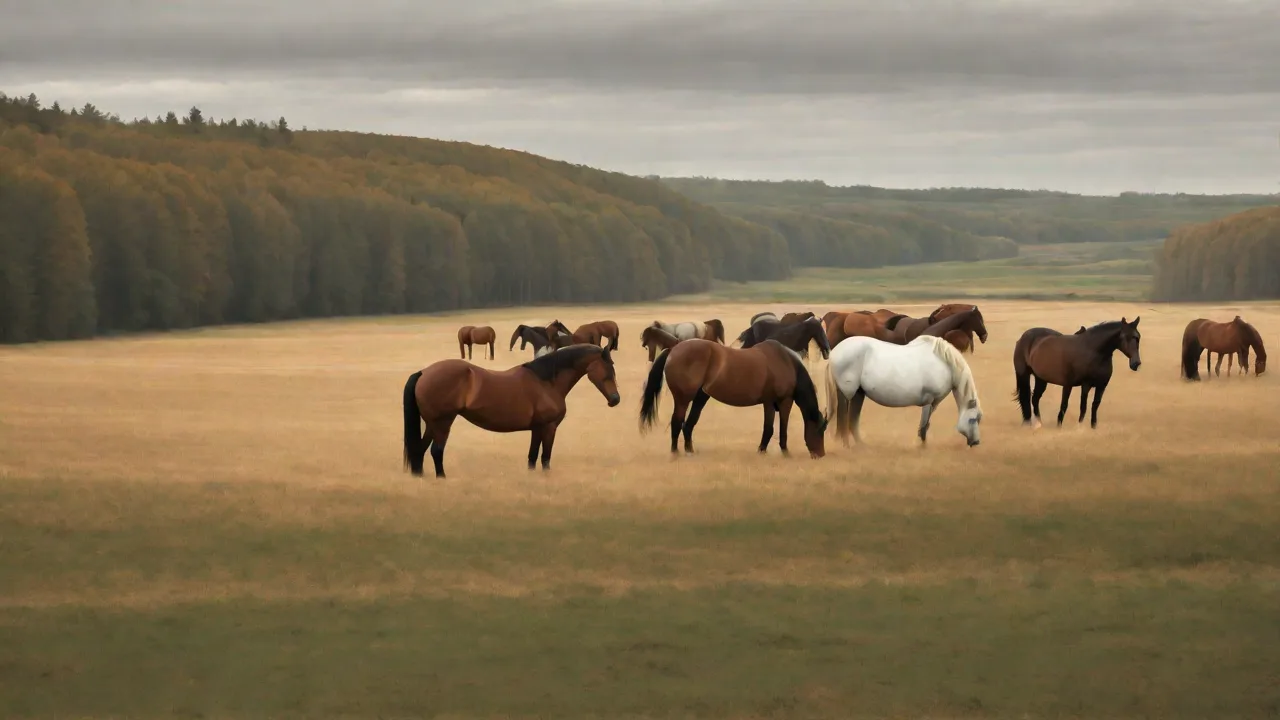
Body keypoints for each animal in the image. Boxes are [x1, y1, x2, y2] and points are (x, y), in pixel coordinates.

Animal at [403, 345, 621, 478]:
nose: (615, 400)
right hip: (442, 423)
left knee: (420, 449)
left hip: (431, 424)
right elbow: (545, 457)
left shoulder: (537, 429)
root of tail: (423, 372)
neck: (546, 382)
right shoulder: (549, 427)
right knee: (436, 451)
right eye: (609, 367)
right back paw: (442, 478)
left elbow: (532, 456)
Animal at [639, 339, 828, 458]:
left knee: (689, 424)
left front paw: (762, 450)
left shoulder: (769, 403)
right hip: (683, 399)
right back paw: (675, 452)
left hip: (701, 397)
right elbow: (778, 429)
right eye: (820, 430)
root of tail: (674, 349)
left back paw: (689, 451)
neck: (787, 363)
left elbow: (769, 428)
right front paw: (783, 452)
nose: (820, 454)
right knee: (677, 421)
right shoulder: (782, 402)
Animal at [824, 335, 983, 448]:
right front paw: (923, 447)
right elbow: (924, 426)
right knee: (844, 418)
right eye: (973, 419)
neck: (945, 364)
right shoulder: (929, 401)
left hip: (859, 394)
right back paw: (847, 446)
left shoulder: (932, 404)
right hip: (847, 394)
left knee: (852, 420)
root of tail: (835, 352)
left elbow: (925, 425)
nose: (976, 442)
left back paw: (861, 445)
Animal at [1012, 318, 1142, 430]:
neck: (1092, 351)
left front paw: (1093, 427)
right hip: (1024, 375)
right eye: (1125, 337)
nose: (1136, 364)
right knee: (1026, 397)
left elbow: (1095, 405)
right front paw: (1071, 426)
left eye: (1138, 337)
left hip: (1041, 378)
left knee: (1035, 398)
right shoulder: (1081, 384)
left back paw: (1039, 423)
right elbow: (1077, 406)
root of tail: (1024, 337)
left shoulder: (1101, 386)